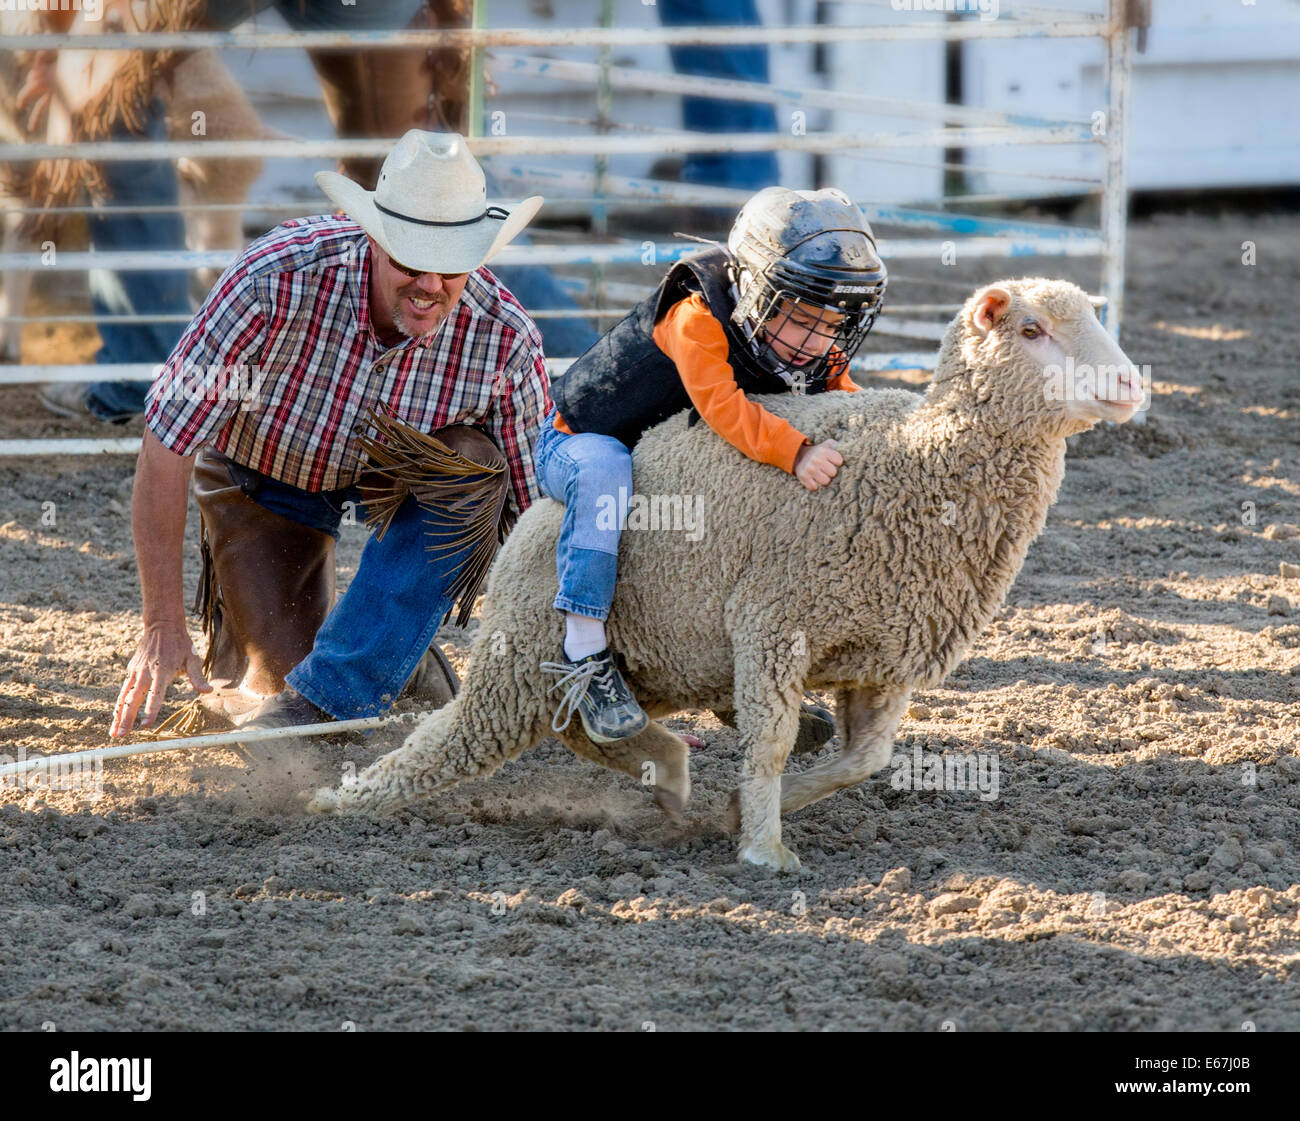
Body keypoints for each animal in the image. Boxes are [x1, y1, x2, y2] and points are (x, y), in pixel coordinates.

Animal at [308, 278, 1145, 871]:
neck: (917, 458)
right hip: (525, 645)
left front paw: (748, 811)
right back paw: (336, 802)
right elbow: (771, 742)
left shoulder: (883, 656)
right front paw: (764, 846)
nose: (1132, 386)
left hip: (640, 658)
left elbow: (862, 760)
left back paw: (666, 767)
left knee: (580, 724)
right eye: (1033, 330)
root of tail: (531, 506)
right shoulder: (774, 621)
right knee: (451, 739)